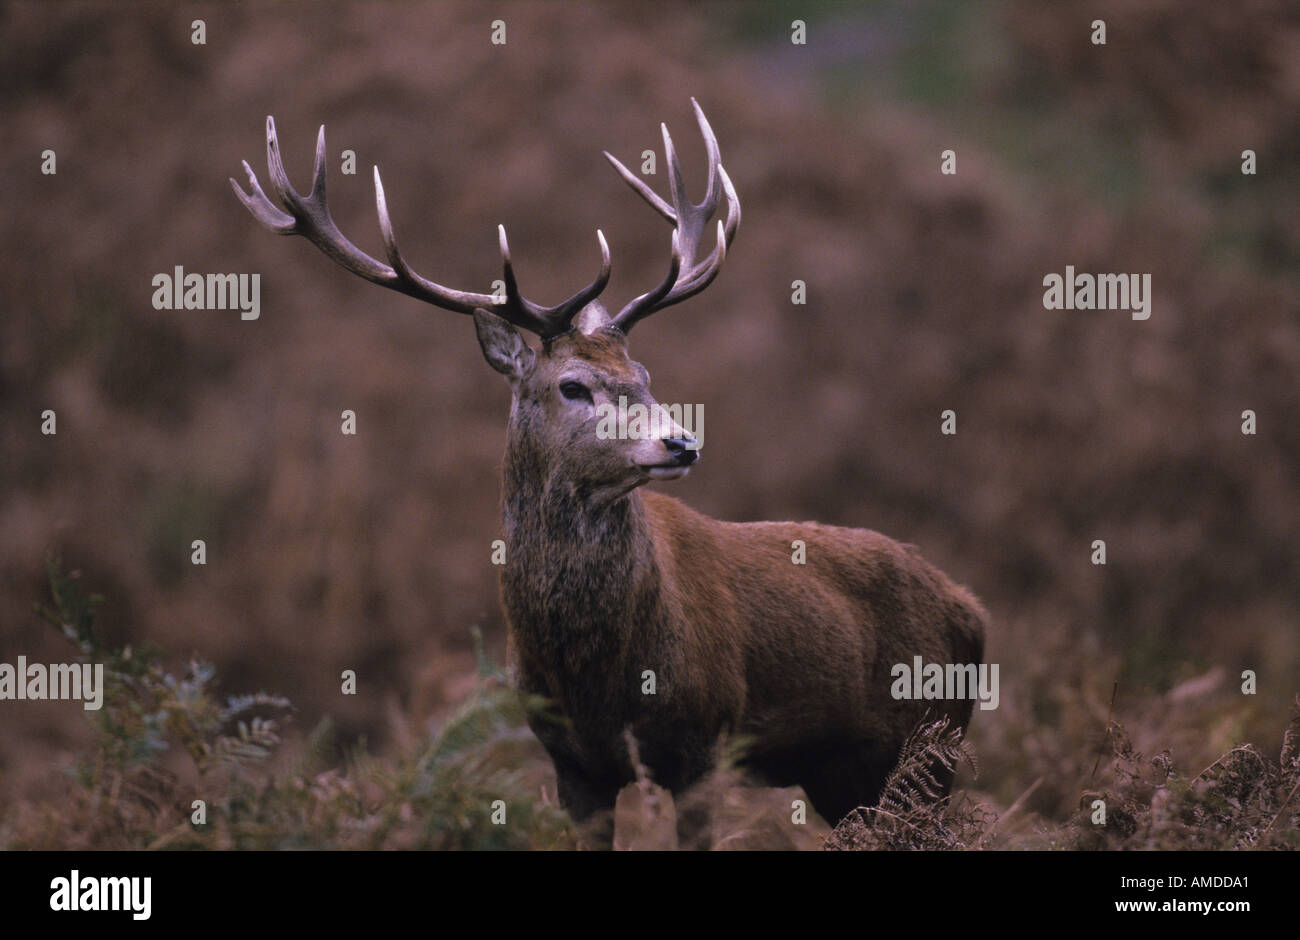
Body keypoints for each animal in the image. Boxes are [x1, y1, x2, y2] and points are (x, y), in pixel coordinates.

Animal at [232, 102, 988, 848]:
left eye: (645, 375)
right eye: (573, 385)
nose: (682, 442)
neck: (599, 681)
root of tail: (972, 611)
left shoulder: (705, 741)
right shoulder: (572, 764)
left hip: (928, 746)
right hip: (848, 772)